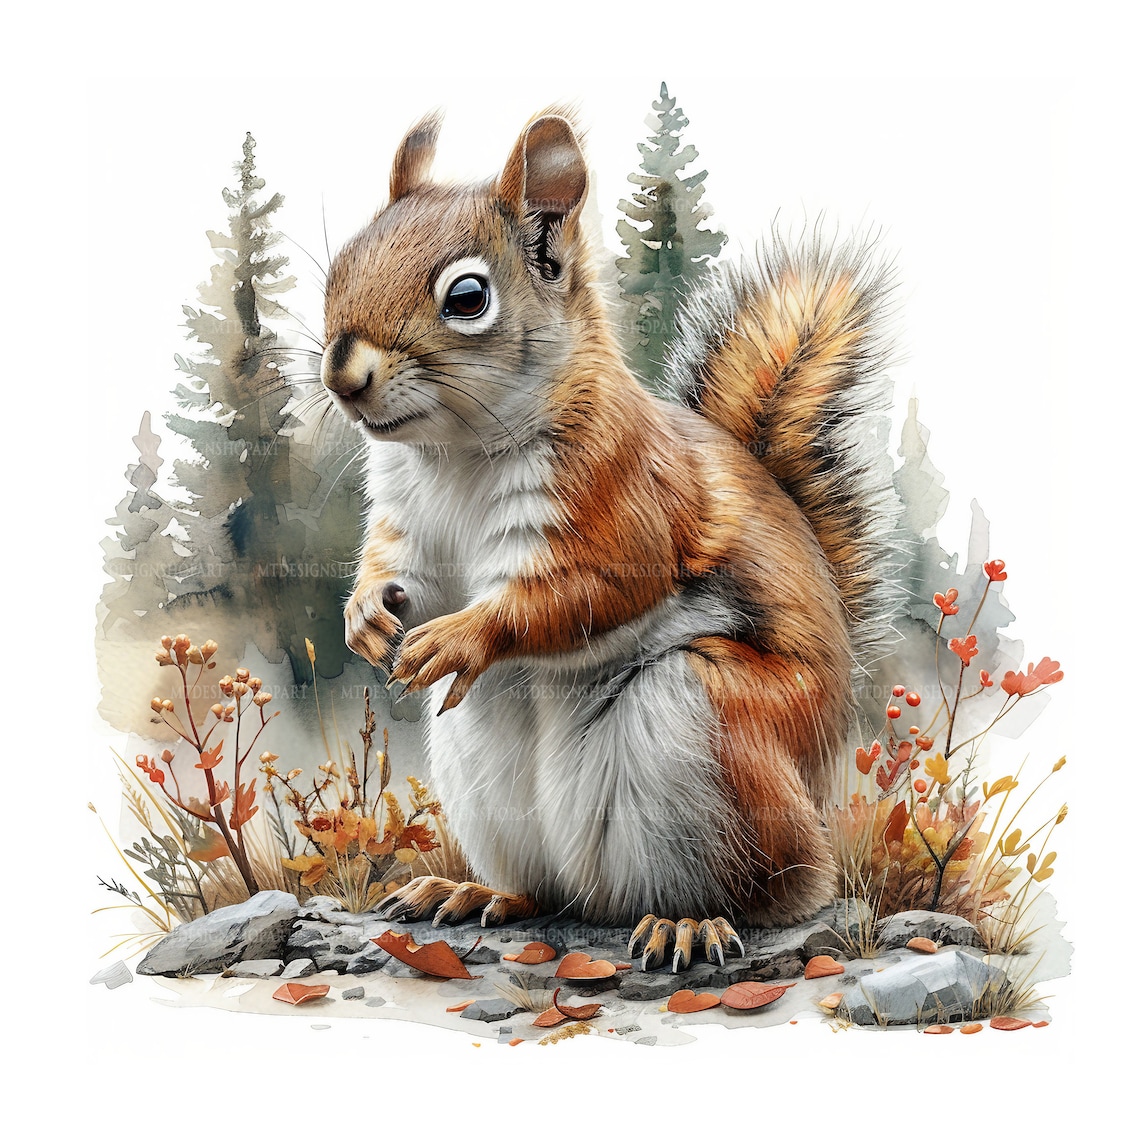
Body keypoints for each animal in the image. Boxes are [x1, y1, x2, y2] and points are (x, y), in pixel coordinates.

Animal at [320, 109, 896, 971]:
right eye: (340, 267)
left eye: (467, 296)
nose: (341, 375)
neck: (456, 453)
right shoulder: (410, 526)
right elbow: (406, 575)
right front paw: (364, 616)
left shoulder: (623, 499)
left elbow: (585, 594)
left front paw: (461, 637)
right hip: (482, 774)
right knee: (547, 891)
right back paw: (478, 893)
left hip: (719, 736)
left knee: (776, 890)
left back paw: (689, 921)